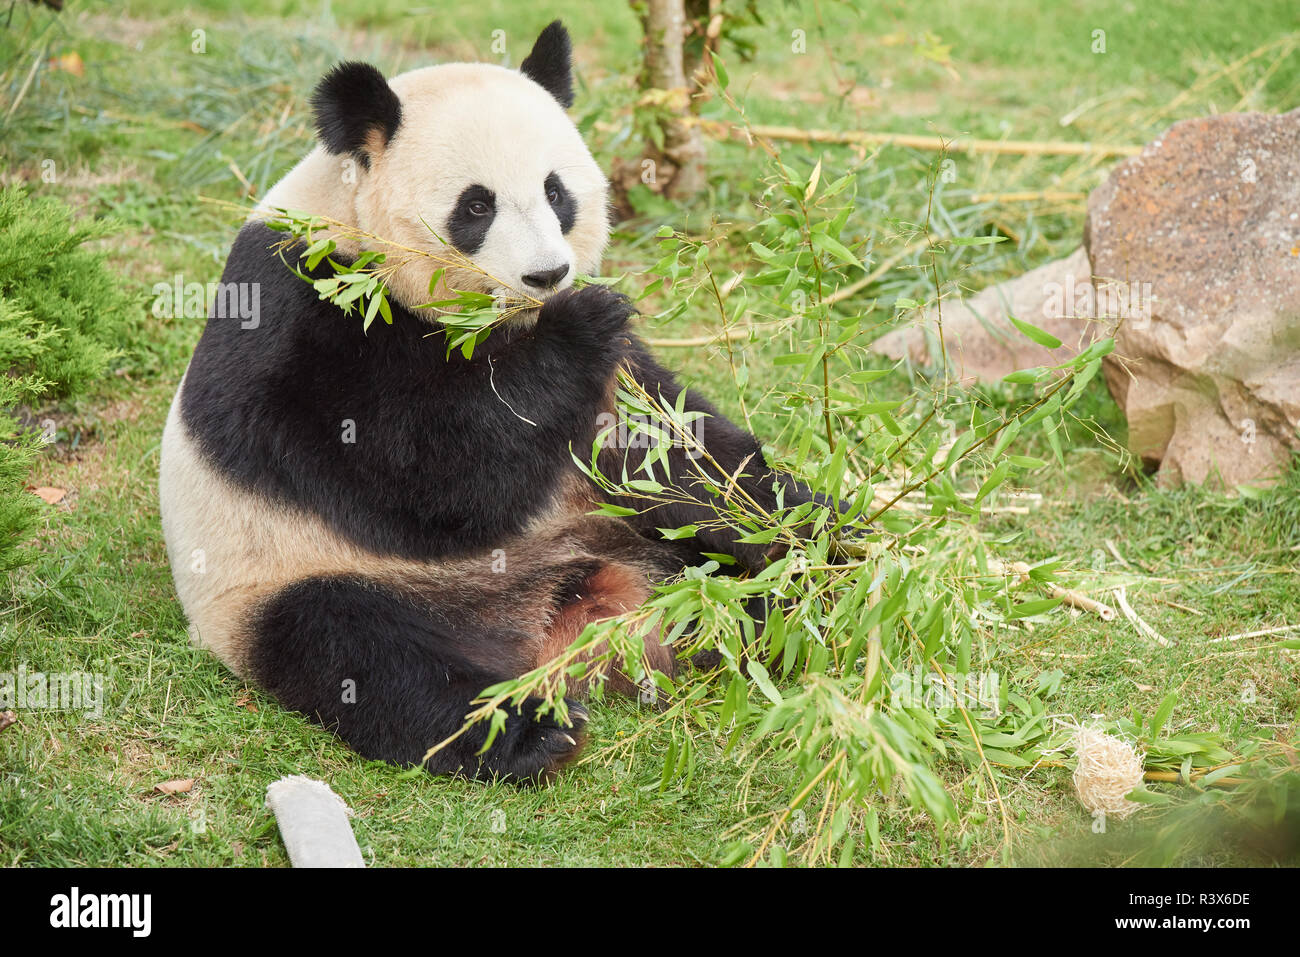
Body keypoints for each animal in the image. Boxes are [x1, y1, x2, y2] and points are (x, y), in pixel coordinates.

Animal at [159, 20, 831, 782]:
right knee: (365, 651)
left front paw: (794, 518)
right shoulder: (298, 312)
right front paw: (580, 325)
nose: (547, 274)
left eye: (556, 192)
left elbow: (666, 448)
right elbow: (422, 480)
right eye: (476, 205)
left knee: (726, 578)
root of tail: (555, 626)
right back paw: (527, 731)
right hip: (289, 579)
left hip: (623, 538)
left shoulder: (615, 396)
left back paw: (792, 595)